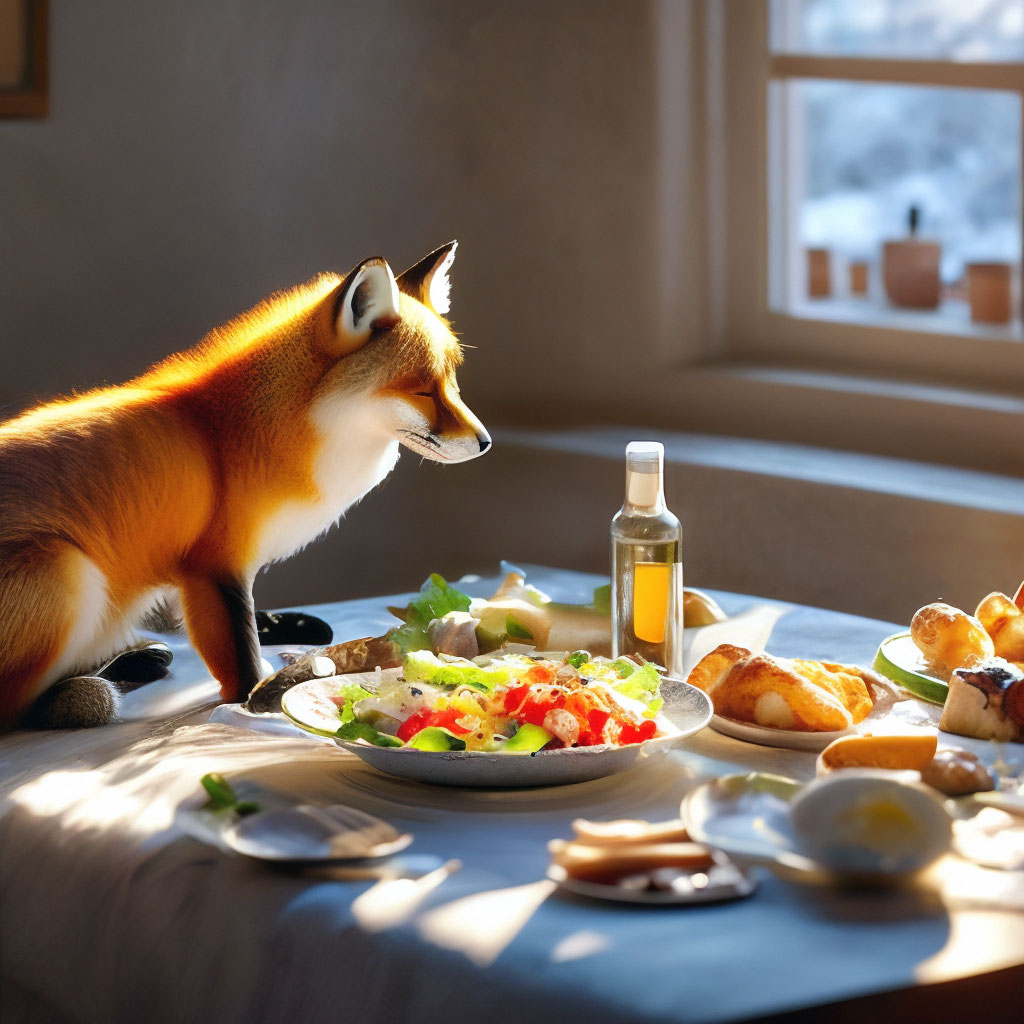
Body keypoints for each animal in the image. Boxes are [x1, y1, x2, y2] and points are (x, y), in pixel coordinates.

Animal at [0, 241, 490, 729]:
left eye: (452, 383)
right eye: (422, 391)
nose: (486, 443)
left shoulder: (215, 573)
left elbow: (242, 620)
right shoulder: (215, 565)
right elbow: (242, 654)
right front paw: (261, 698)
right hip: (68, 575)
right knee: (17, 708)